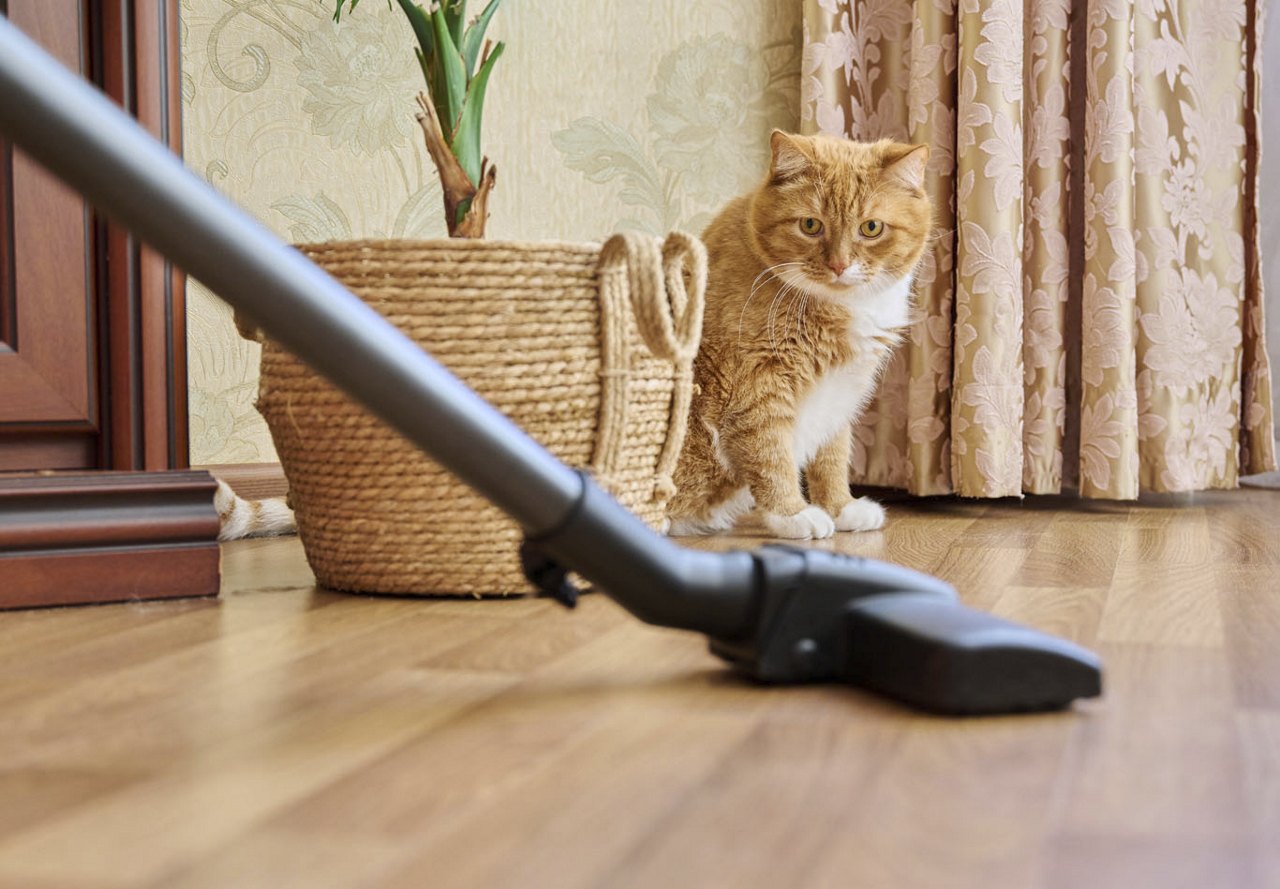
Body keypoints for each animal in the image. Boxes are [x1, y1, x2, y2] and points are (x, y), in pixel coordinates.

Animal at [670, 128, 931, 539]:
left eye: (871, 228)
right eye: (810, 225)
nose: (839, 264)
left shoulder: (842, 390)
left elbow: (833, 455)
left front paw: (841, 507)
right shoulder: (757, 385)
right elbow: (770, 455)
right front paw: (791, 513)